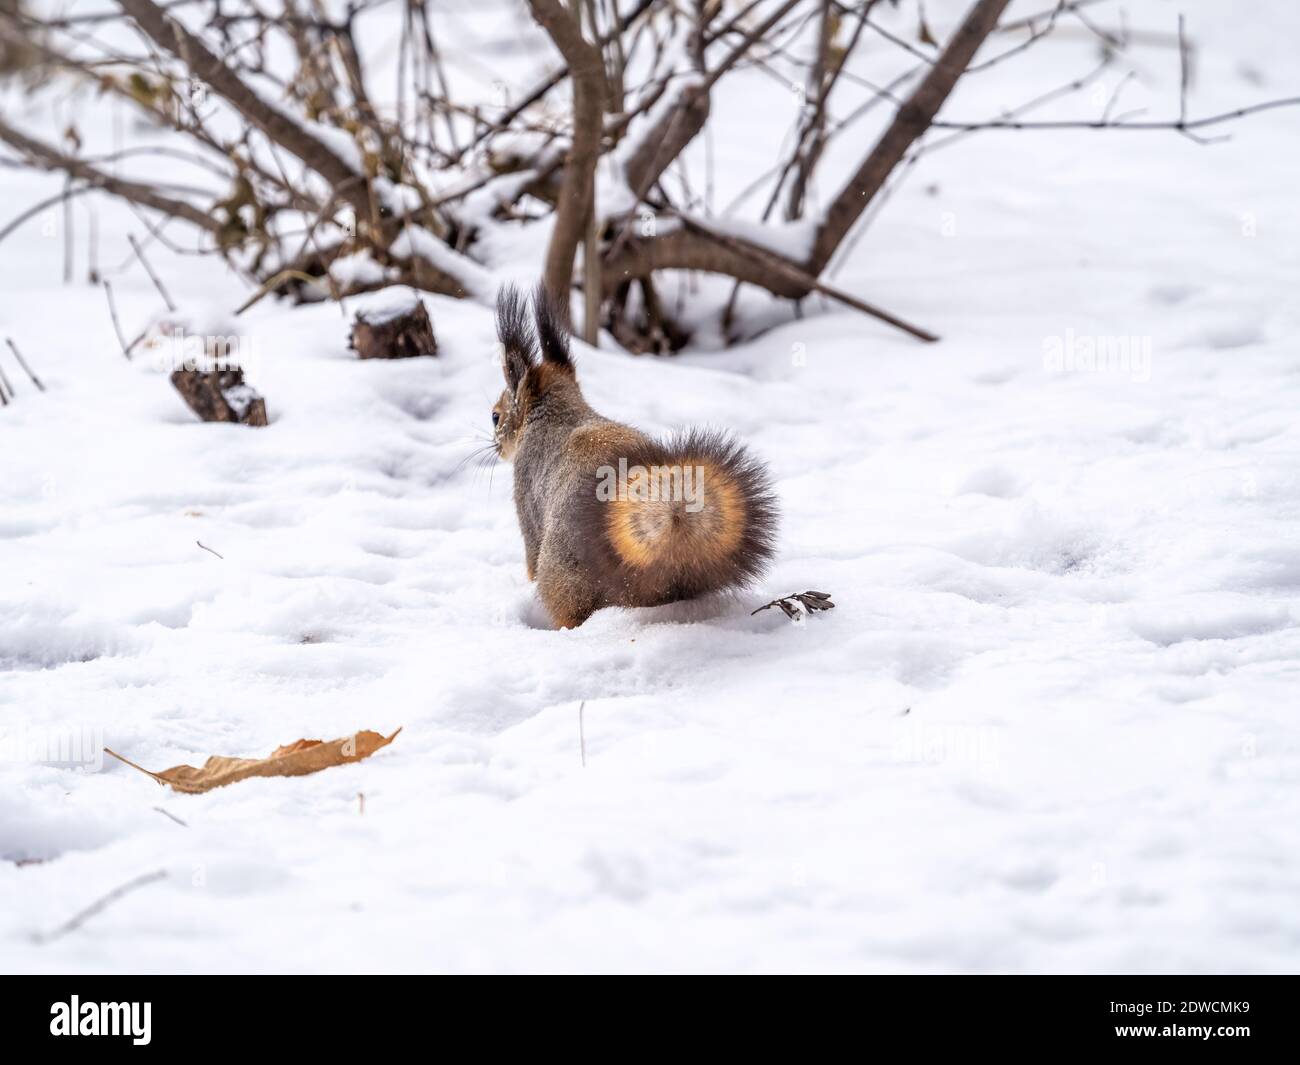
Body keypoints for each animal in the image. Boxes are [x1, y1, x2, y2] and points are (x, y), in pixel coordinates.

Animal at [490, 285, 778, 629]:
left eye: (495, 416)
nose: (496, 446)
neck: (560, 414)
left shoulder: (527, 493)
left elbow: (530, 553)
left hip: (562, 577)